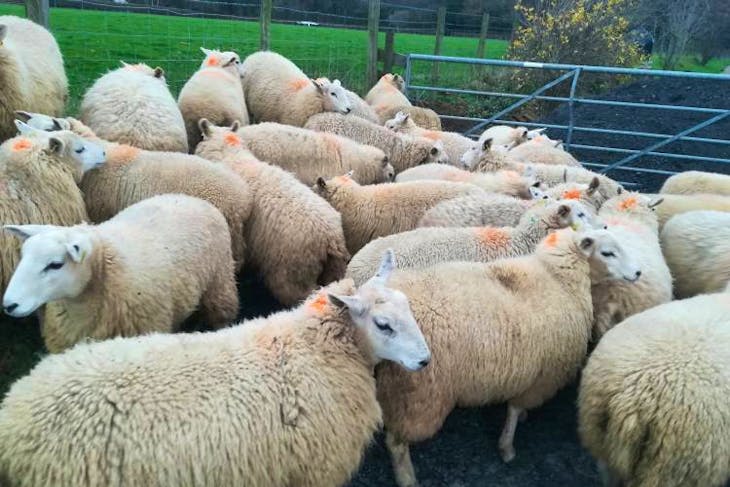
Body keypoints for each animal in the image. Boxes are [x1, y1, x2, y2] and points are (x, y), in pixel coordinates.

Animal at [0, 251, 432, 487]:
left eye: (407, 306)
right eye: (383, 325)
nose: (425, 360)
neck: (318, 347)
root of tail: (15, 412)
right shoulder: (314, 469)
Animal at [377, 228, 641, 487]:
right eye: (607, 253)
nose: (638, 272)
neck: (558, 280)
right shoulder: (541, 376)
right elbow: (514, 409)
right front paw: (507, 447)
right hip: (419, 397)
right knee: (396, 443)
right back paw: (407, 478)